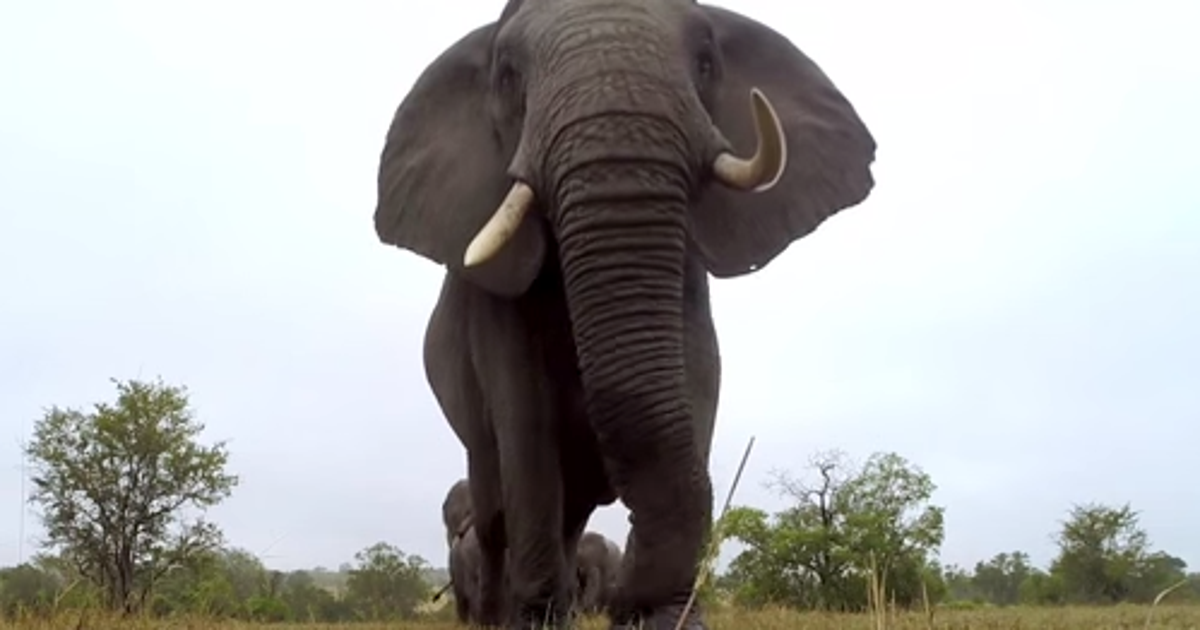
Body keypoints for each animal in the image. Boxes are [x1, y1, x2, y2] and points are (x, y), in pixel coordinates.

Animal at [373, 0, 876, 628]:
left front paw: (666, 618)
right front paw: (542, 621)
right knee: (496, 511)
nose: (623, 602)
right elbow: (523, 414)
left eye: (706, 61)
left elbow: (698, 376)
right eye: (508, 77)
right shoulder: (490, 302)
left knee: (569, 511)